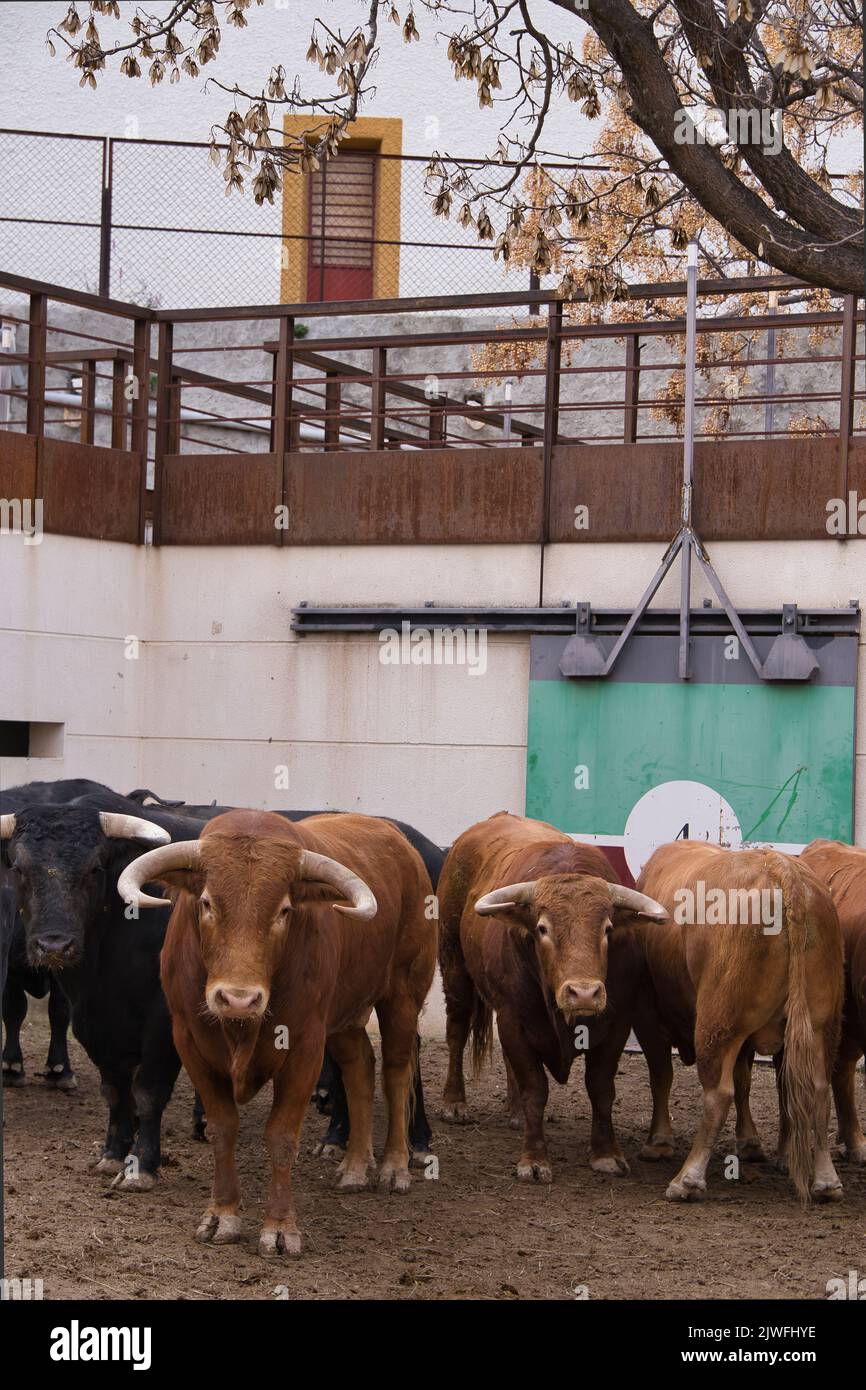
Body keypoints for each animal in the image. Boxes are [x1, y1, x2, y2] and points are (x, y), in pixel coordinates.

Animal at [0, 792, 209, 1188]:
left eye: (95, 868)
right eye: (18, 868)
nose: (54, 946)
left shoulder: (163, 1020)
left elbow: (149, 1092)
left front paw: (141, 1167)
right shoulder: (91, 1019)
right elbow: (115, 1090)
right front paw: (113, 1155)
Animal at [118, 809, 438, 1257]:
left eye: (284, 910)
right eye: (206, 903)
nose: (238, 999)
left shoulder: (305, 1046)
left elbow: (283, 1136)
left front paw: (281, 1227)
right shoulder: (190, 1041)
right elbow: (222, 1128)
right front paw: (221, 1216)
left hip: (403, 995)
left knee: (395, 1072)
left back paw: (394, 1166)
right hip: (344, 1015)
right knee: (360, 1066)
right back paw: (355, 1168)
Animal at [437, 811, 667, 1182]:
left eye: (607, 928)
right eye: (542, 928)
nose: (584, 992)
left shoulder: (617, 1024)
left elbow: (601, 1087)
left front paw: (606, 1153)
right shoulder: (513, 1021)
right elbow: (536, 1088)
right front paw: (534, 1160)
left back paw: (514, 1112)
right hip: (454, 966)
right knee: (457, 1031)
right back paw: (454, 1103)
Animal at [633, 840, 845, 1204]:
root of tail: (782, 870)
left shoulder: (648, 1016)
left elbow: (661, 1076)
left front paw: (658, 1142)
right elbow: (744, 1080)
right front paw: (749, 1142)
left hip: (718, 1023)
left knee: (717, 1094)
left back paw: (687, 1179)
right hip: (820, 1026)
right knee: (818, 1090)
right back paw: (827, 1182)